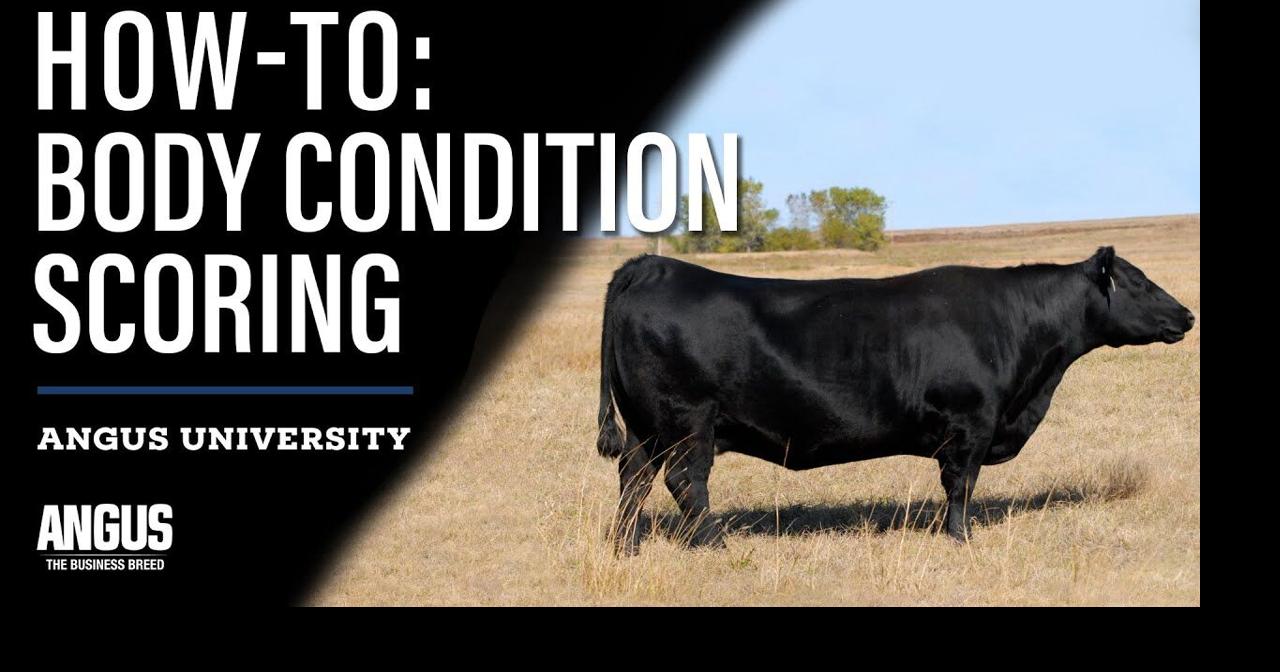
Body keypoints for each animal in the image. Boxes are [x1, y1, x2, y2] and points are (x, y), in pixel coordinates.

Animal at [595, 246, 1194, 554]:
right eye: (1139, 282)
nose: (1188, 315)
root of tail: (652, 265)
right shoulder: (971, 423)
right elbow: (961, 486)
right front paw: (961, 539)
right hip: (688, 419)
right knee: (684, 481)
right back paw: (713, 543)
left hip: (647, 425)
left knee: (634, 476)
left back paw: (626, 547)